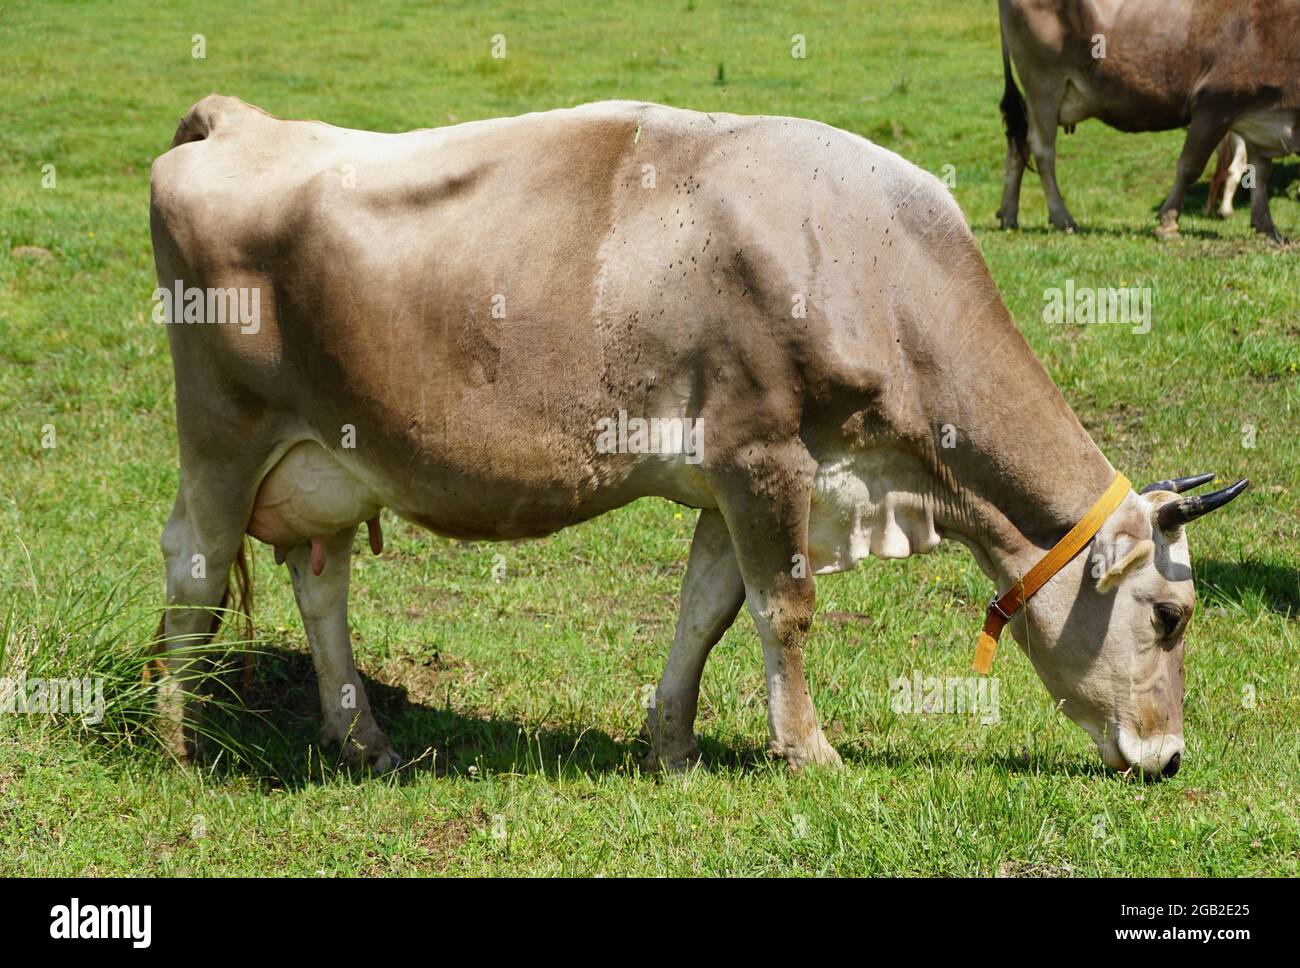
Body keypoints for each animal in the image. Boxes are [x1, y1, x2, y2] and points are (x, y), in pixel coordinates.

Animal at [150, 95, 1247, 780]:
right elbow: (786, 610)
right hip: (222, 436)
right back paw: (177, 744)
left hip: (330, 461)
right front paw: (809, 751)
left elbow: (705, 611)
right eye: (1169, 616)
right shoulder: (765, 454)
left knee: (321, 584)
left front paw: (671, 745)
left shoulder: (734, 475)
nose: (1170, 759)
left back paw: (363, 738)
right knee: (195, 568)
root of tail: (237, 122)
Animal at [996, 0, 1300, 241]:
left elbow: (1260, 173)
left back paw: (1009, 215)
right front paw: (1168, 223)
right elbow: (1189, 167)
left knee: (1018, 142)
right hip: (1043, 83)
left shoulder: (1264, 121)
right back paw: (1062, 218)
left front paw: (1268, 228)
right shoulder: (1214, 104)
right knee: (1042, 150)